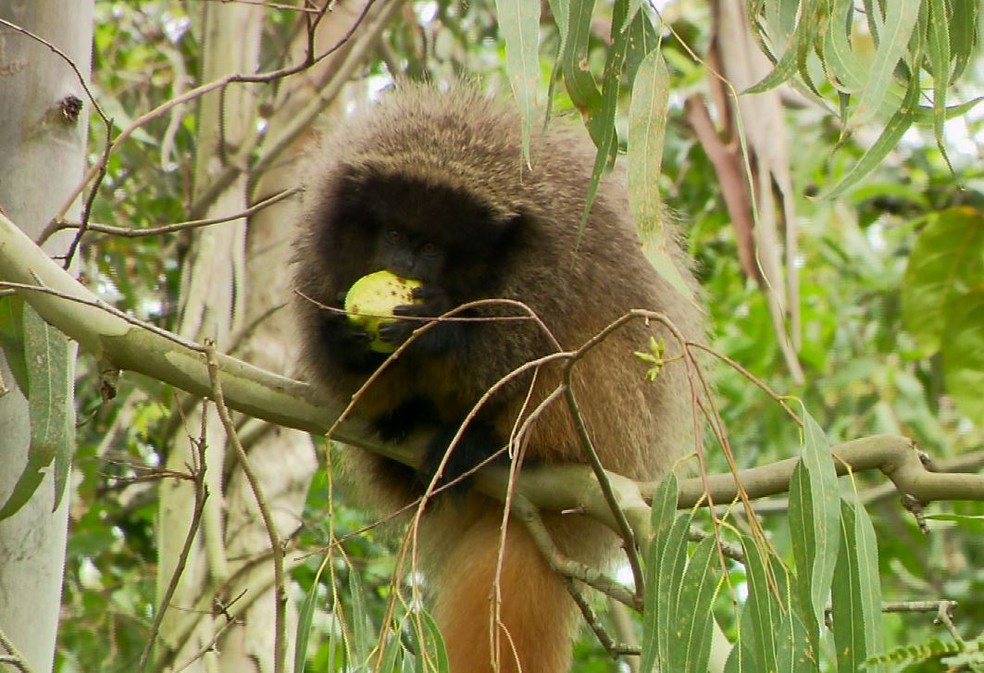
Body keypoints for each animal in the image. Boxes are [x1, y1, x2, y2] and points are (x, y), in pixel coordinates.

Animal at [292, 84, 704, 673]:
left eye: (432, 246)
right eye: (394, 232)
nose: (405, 262)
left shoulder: (551, 257)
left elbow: (518, 349)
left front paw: (439, 329)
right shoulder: (321, 253)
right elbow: (337, 371)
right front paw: (344, 344)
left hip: (609, 434)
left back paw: (490, 445)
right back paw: (410, 427)